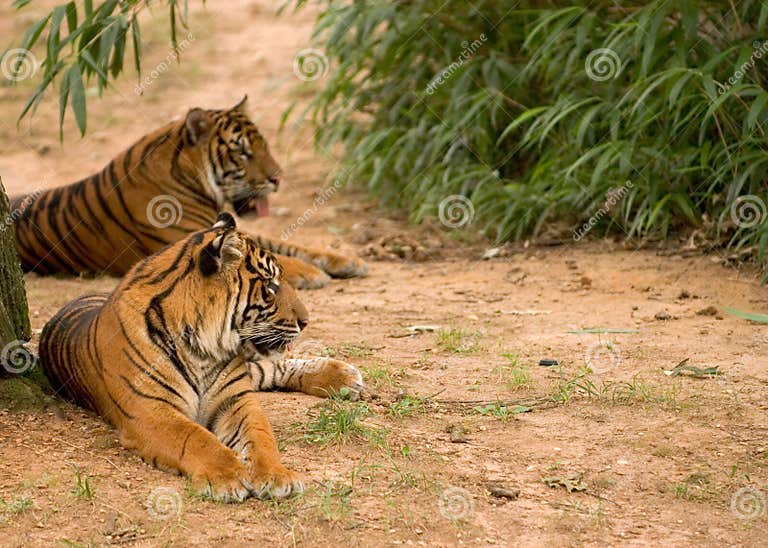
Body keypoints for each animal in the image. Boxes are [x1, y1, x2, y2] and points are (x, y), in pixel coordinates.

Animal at [10, 96, 366, 289]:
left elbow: (286, 245)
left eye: (264, 146)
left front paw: (347, 261)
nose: (278, 178)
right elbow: (272, 255)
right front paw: (312, 274)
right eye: (242, 152)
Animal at [38, 213, 365, 502]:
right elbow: (195, 437)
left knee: (270, 367)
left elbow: (261, 437)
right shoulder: (150, 410)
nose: (306, 321)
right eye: (271, 286)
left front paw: (276, 476)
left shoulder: (236, 399)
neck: (202, 347)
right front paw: (228, 477)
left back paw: (345, 378)